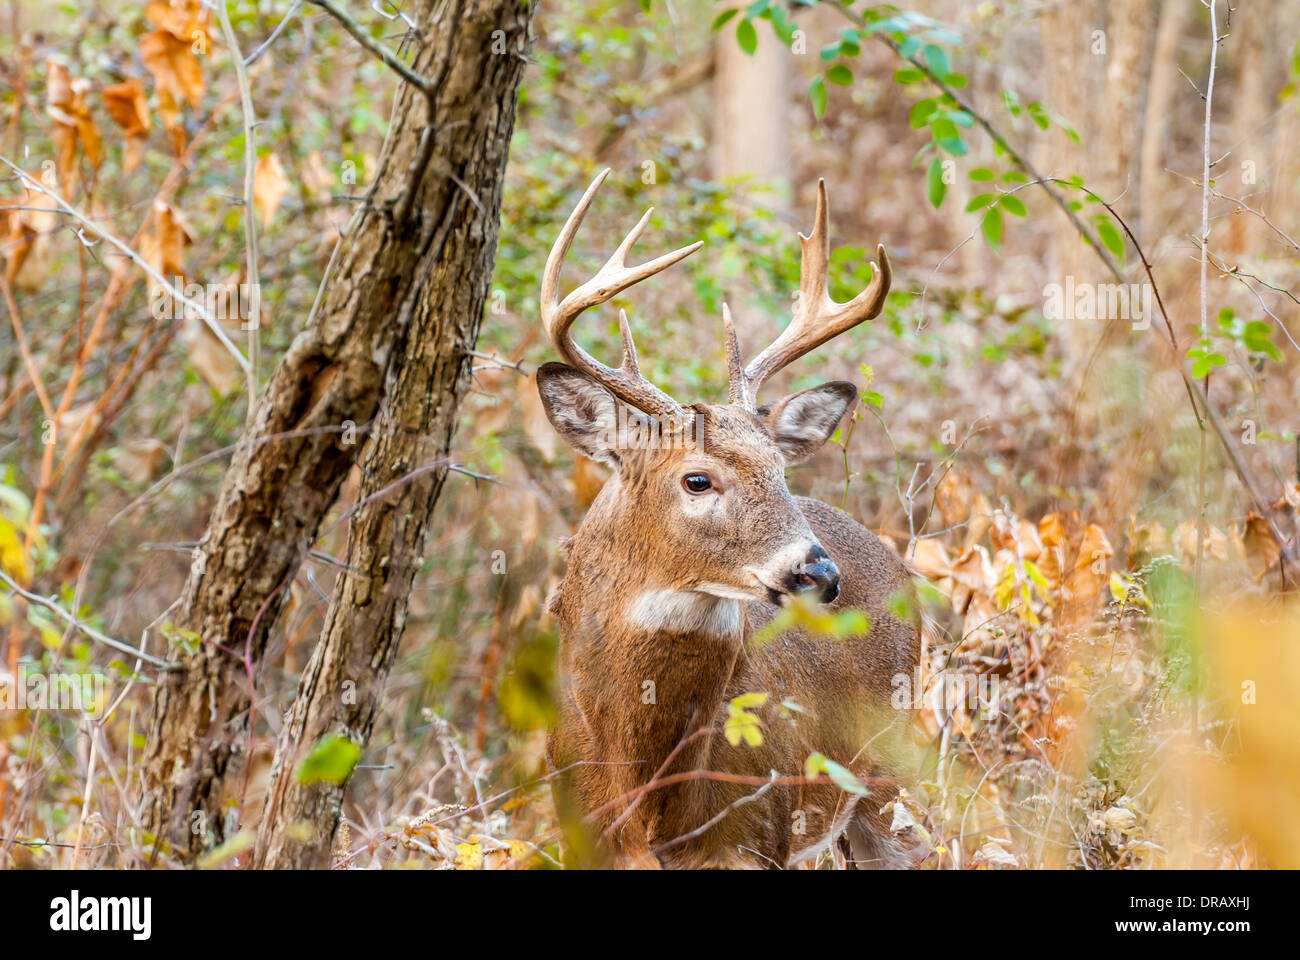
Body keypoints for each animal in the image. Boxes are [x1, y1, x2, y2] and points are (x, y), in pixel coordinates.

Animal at [535, 169, 922, 869]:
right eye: (697, 478)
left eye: (781, 470)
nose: (819, 572)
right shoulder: (578, 833)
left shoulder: (752, 834)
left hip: (888, 777)